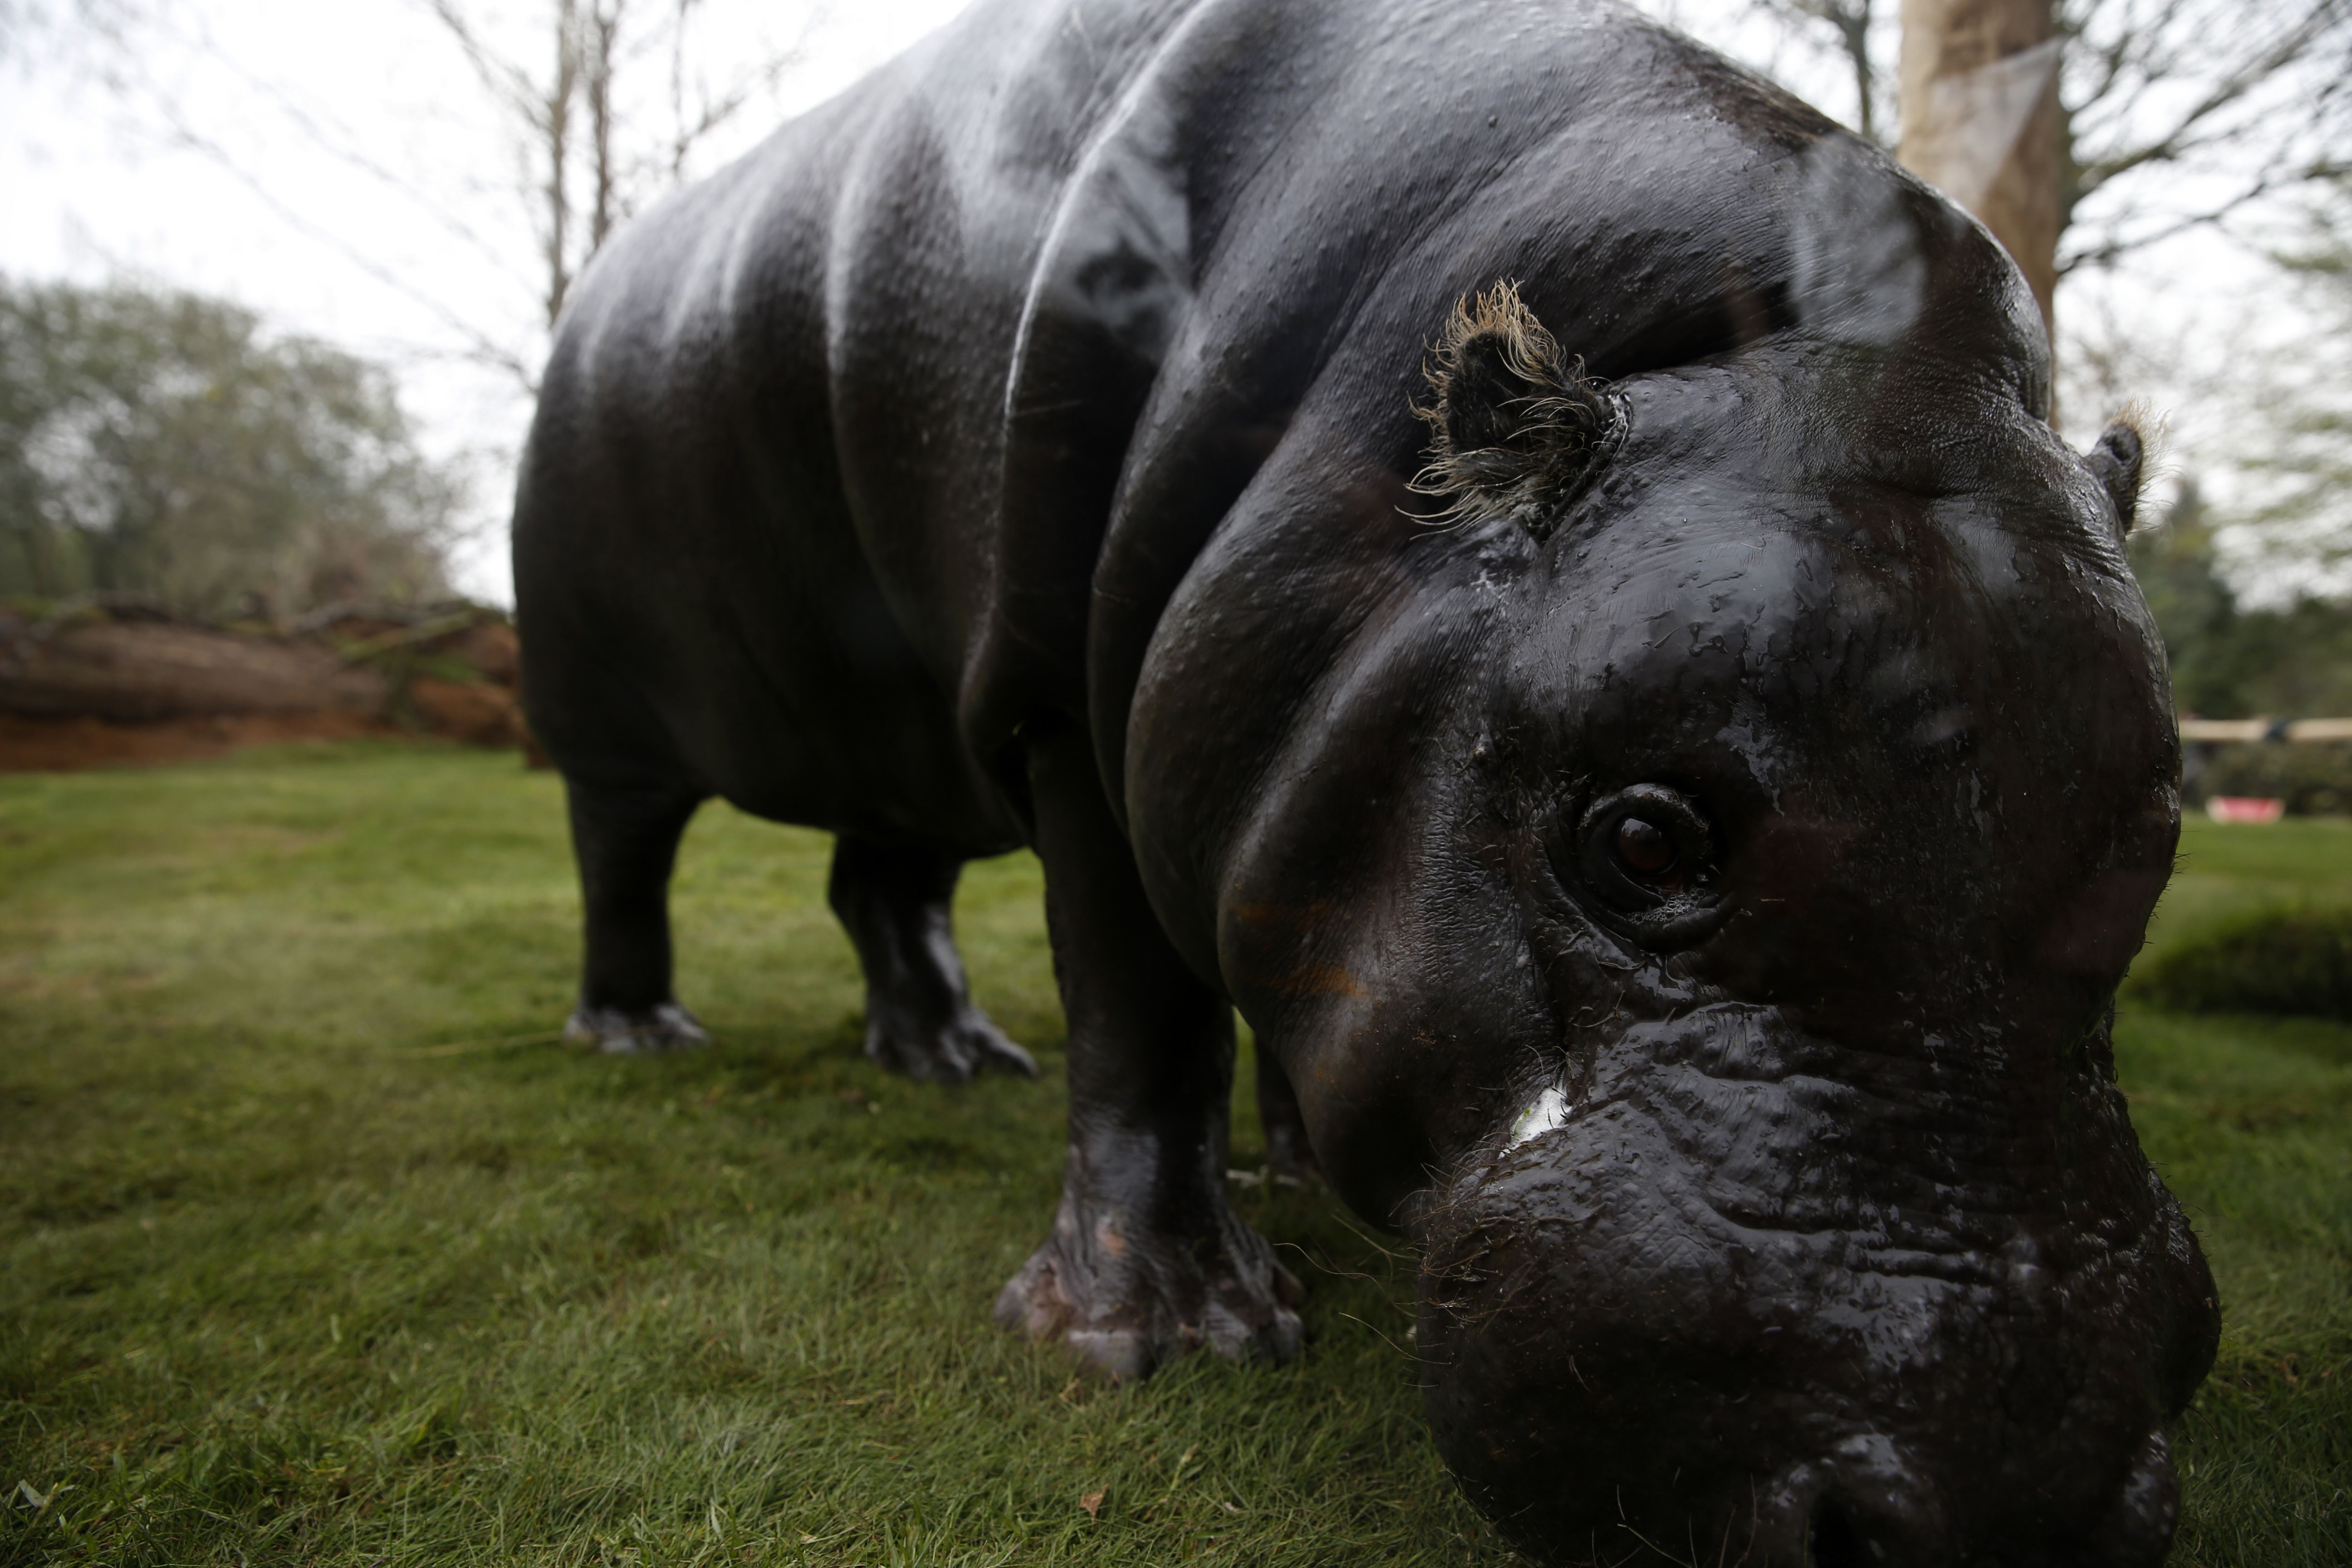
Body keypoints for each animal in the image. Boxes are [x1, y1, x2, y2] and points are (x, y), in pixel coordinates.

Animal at [511, 0, 2219, 1560]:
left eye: (2150, 851)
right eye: (1642, 841)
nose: (2007, 1514)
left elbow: (1281, 944)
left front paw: (1284, 1165)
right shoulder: (1069, 713)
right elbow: (1141, 1015)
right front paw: (1163, 1340)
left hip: (915, 735)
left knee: (882, 877)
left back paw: (954, 1060)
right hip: (613, 708)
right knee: (624, 858)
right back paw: (640, 1036)